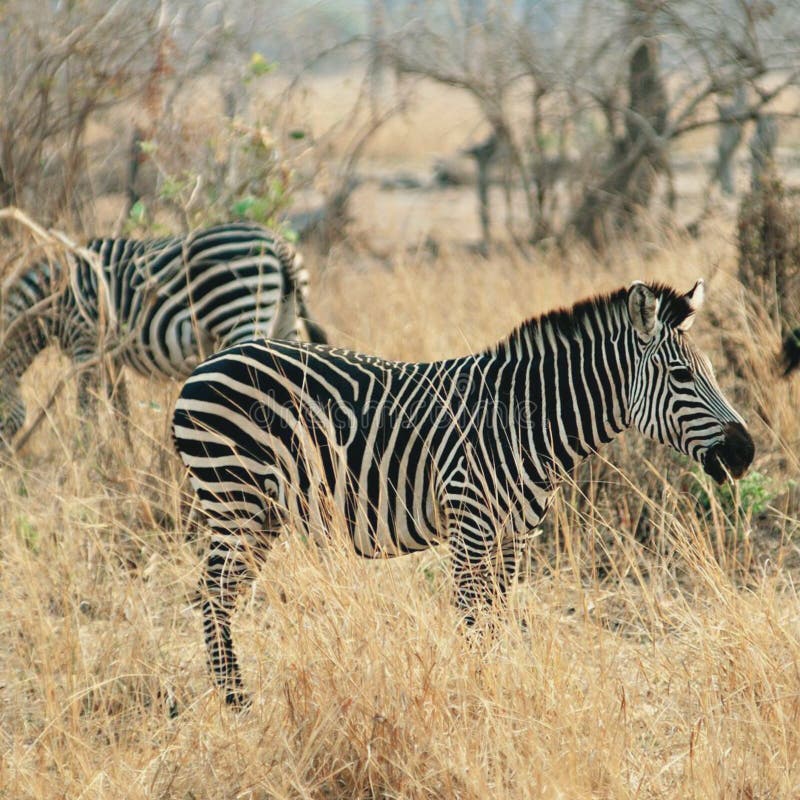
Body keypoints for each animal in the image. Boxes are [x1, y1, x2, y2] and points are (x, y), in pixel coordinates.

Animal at [0, 222, 326, 448]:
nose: (9, 473)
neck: (54, 299)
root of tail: (277, 243)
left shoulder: (86, 343)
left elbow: (86, 409)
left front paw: (88, 455)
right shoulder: (111, 355)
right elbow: (120, 407)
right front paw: (124, 453)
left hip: (239, 313)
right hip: (286, 318)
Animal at [172, 279, 755, 707]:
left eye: (710, 372)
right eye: (680, 375)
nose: (745, 453)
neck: (525, 420)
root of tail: (208, 364)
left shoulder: (517, 533)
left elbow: (496, 618)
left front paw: (493, 694)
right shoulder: (470, 523)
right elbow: (475, 620)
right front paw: (477, 701)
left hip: (260, 513)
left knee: (221, 595)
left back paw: (235, 696)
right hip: (234, 497)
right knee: (213, 594)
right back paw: (236, 704)